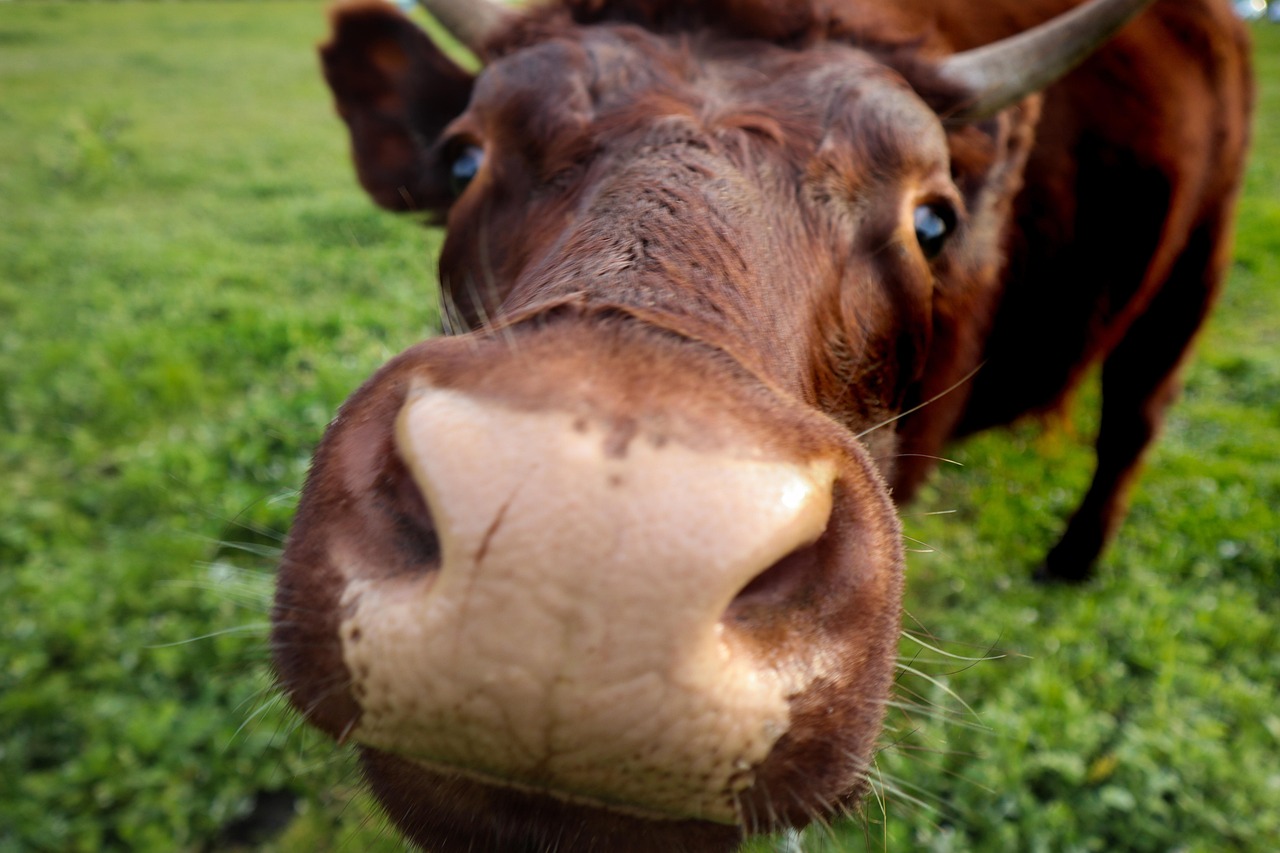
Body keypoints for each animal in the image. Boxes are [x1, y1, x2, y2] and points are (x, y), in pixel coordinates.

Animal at [271, 0, 1253, 850]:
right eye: (464, 160)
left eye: (934, 220)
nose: (591, 565)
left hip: (1191, 277)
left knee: (1134, 420)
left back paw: (1075, 557)